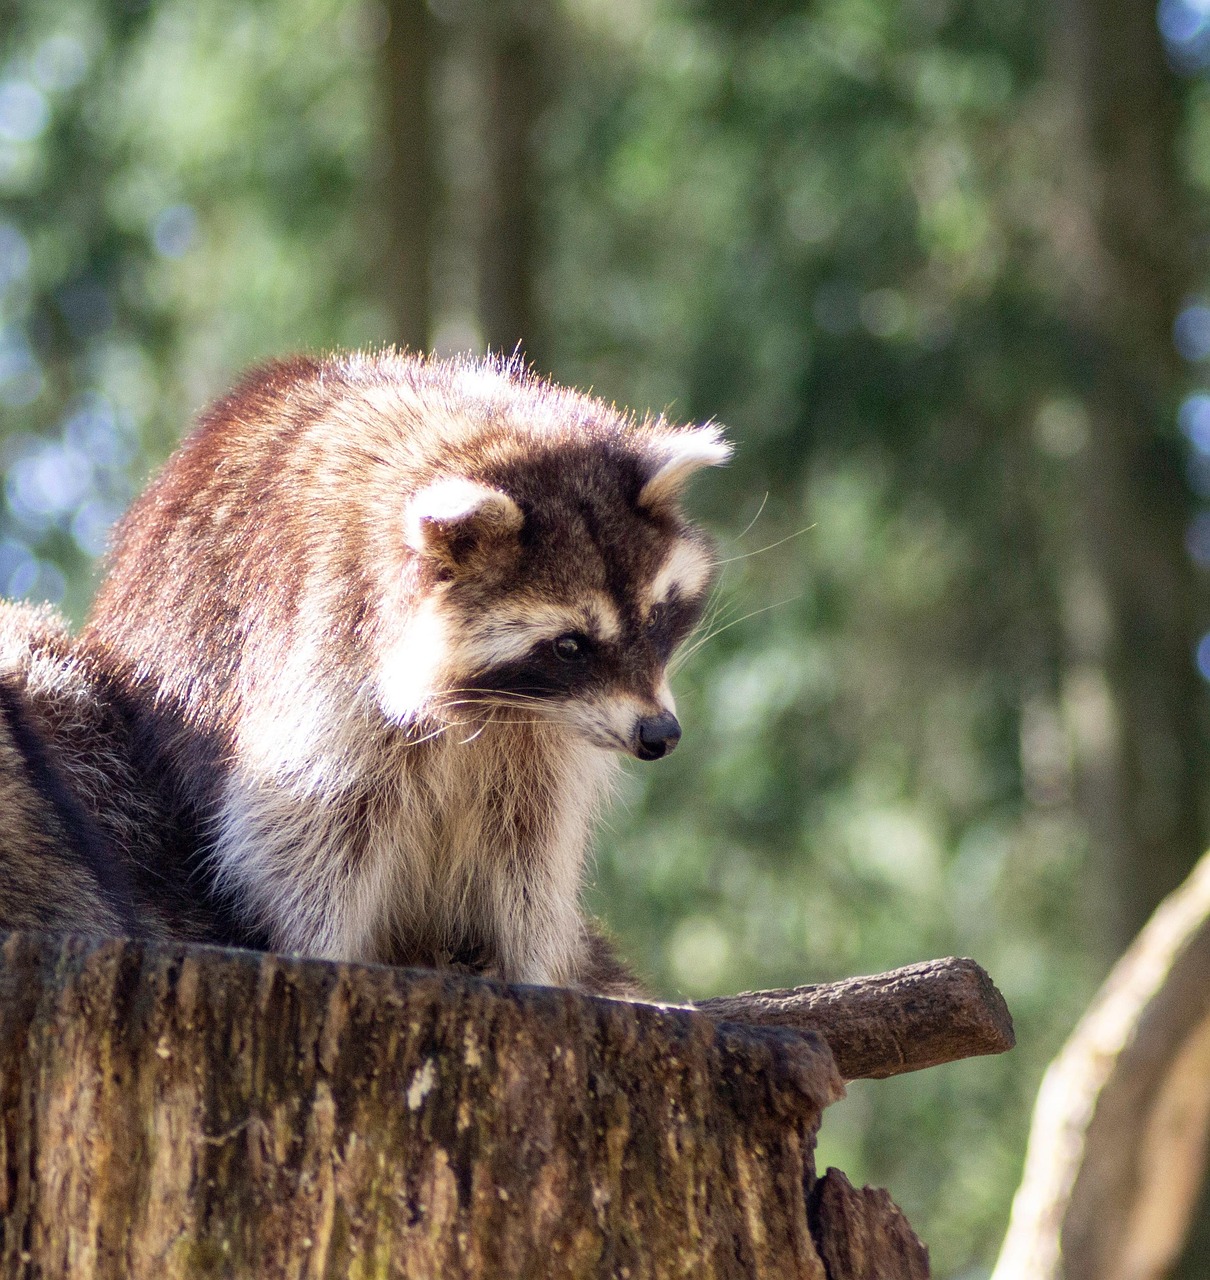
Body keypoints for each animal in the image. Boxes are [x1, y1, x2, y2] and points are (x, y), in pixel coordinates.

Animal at [0, 352, 729, 995]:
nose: (659, 735)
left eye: (656, 616)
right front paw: (318, 950)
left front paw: (535, 967)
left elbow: (531, 853)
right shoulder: (320, 657)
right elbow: (305, 838)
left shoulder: (545, 746)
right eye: (571, 645)